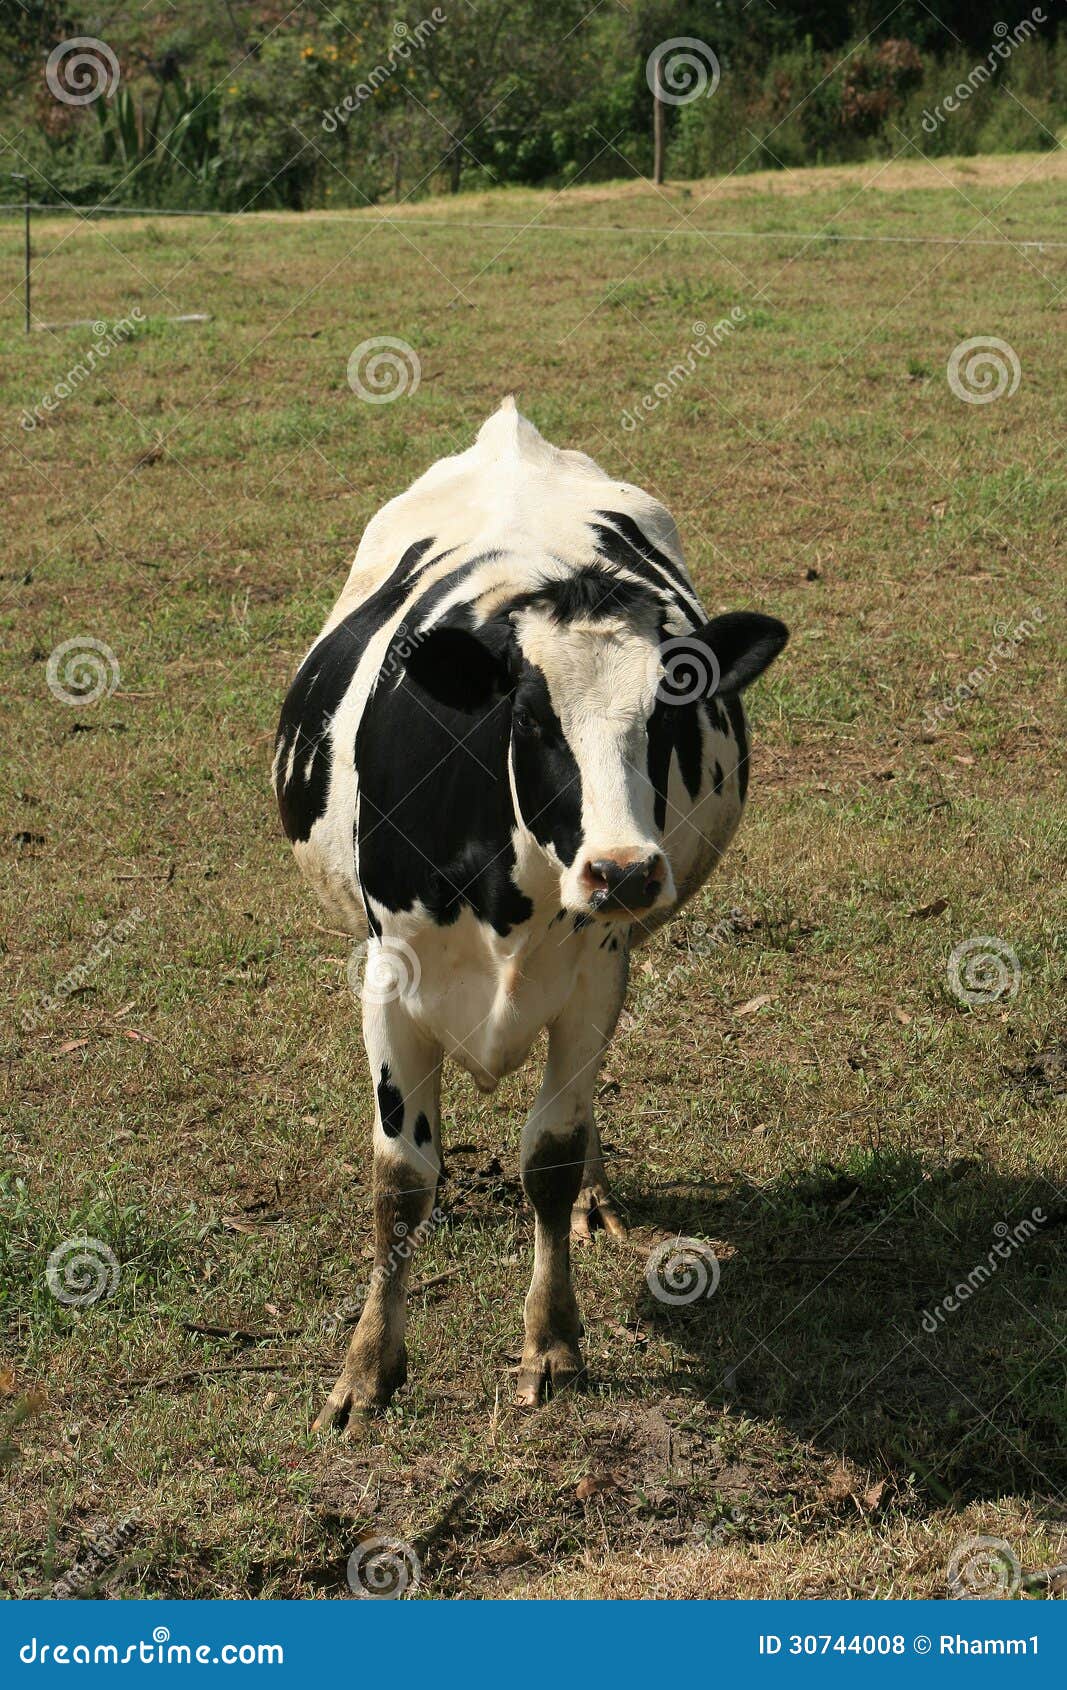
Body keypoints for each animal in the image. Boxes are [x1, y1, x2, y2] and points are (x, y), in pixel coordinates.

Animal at [273, 400, 787, 1429]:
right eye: (534, 721)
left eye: (671, 715)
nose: (624, 871)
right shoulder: (387, 976)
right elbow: (399, 1178)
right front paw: (366, 1367)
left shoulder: (594, 976)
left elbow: (547, 1154)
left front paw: (551, 1340)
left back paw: (593, 1198)